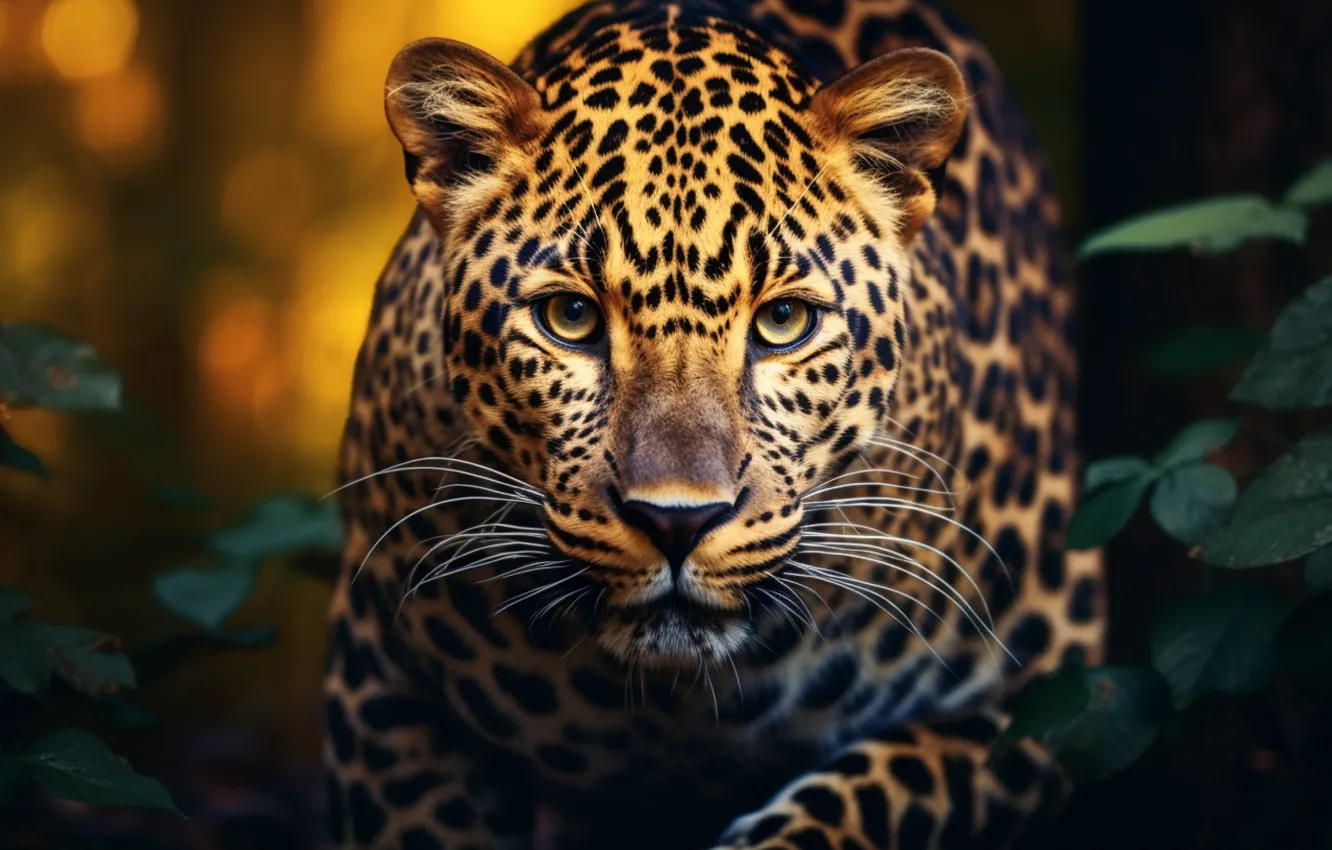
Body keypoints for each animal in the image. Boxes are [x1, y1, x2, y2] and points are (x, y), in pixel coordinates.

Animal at [323, 1, 1105, 848]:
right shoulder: (381, 676)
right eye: (570, 318)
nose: (676, 522)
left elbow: (867, 795)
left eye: (784, 321)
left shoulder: (1053, 697)